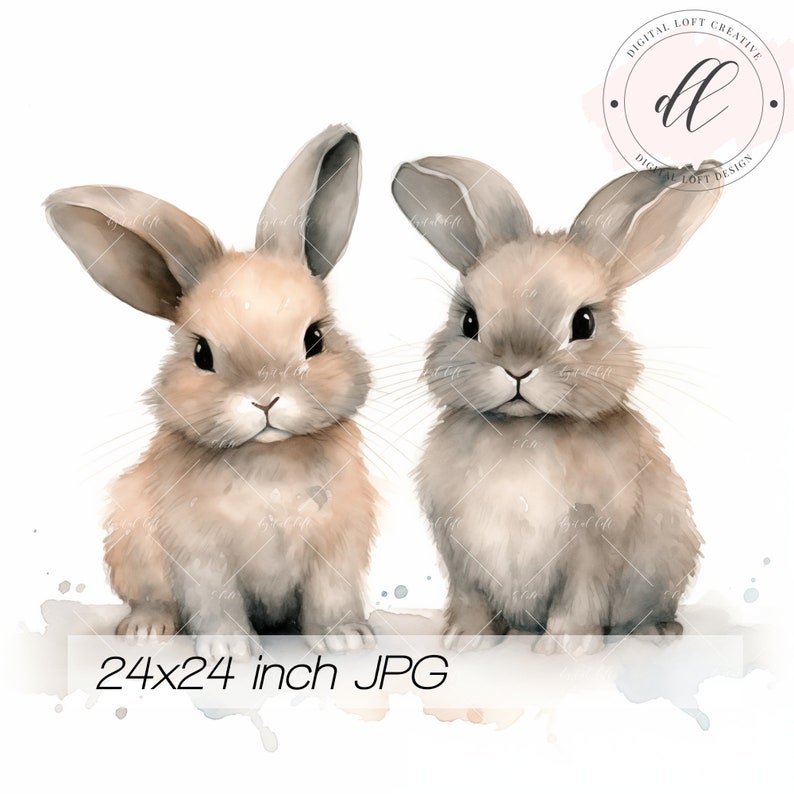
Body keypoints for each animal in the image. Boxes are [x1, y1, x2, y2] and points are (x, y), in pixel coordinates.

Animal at [45, 125, 378, 658]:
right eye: (202, 353)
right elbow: (213, 600)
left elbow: (331, 594)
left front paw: (345, 639)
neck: (268, 460)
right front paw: (230, 649)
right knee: (152, 598)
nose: (265, 399)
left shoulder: (338, 541)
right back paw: (146, 629)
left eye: (315, 339)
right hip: (130, 548)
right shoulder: (198, 552)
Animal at [392, 156, 722, 655]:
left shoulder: (593, 542)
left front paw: (566, 647)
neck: (522, 429)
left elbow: (580, 597)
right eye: (469, 321)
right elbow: (471, 596)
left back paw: (656, 632)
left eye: (583, 323)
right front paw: (465, 640)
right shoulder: (458, 548)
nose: (517, 368)